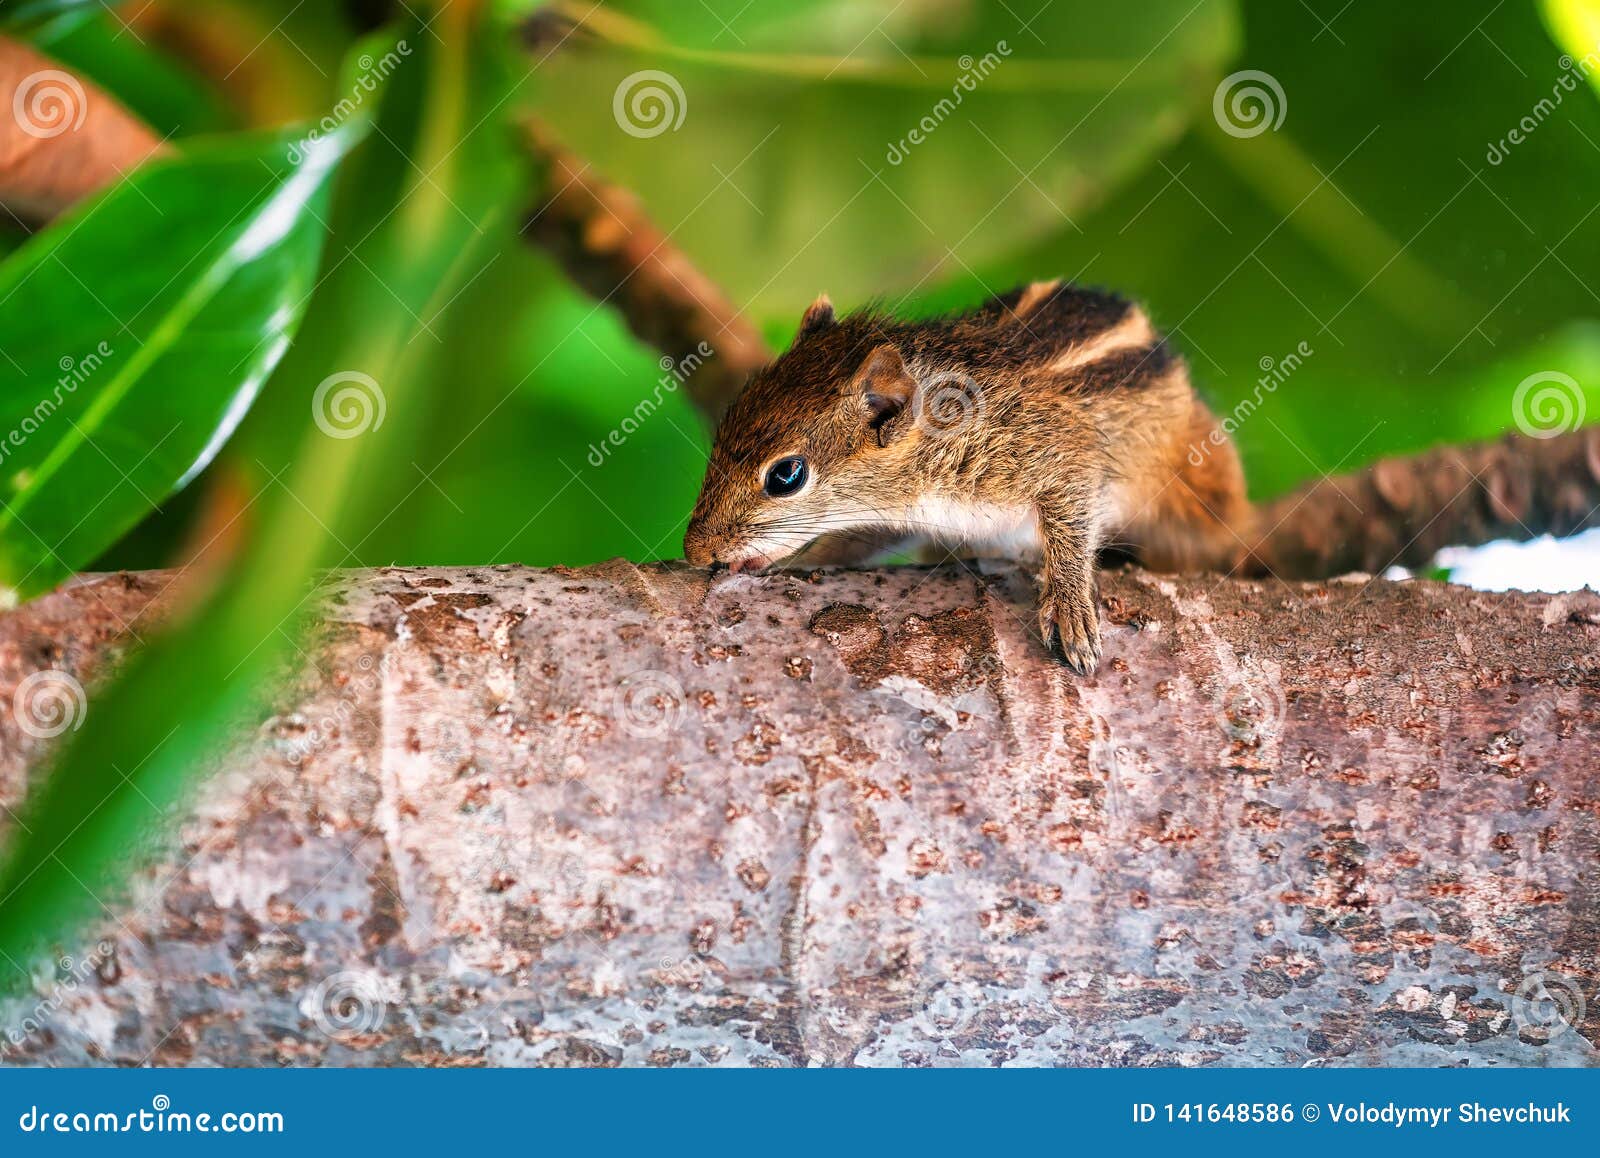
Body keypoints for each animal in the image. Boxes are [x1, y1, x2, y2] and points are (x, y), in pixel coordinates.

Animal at [682, 281, 1255, 674]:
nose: (696, 551)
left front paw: (1071, 612)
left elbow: (1071, 517)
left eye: (786, 475)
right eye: (727, 420)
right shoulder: (895, 515)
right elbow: (859, 540)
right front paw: (789, 561)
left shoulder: (1057, 453)